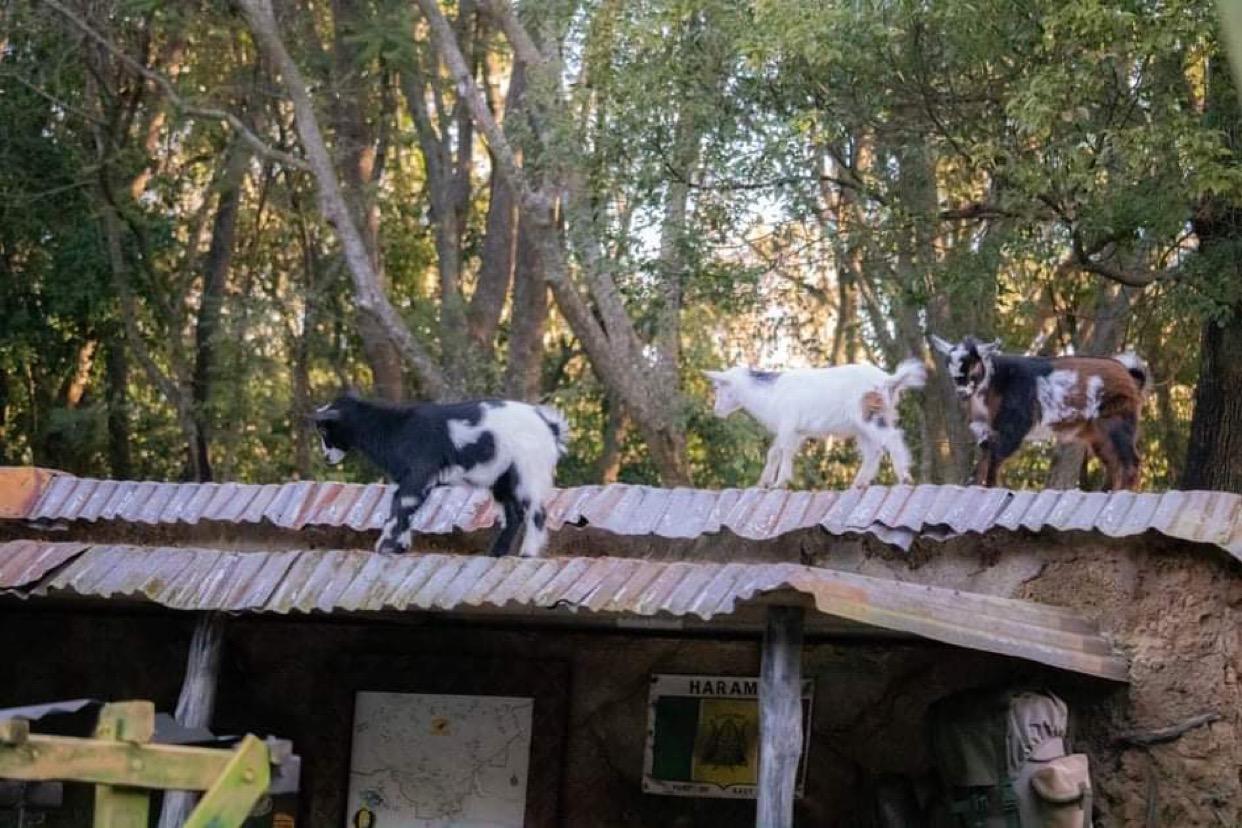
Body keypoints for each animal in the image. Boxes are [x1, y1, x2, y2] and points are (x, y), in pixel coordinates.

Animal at [310, 393, 568, 557]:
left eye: (324, 429)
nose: (326, 458)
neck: (395, 428)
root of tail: (550, 426)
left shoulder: (418, 474)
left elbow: (401, 504)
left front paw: (386, 546)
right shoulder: (408, 479)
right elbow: (403, 507)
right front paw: (399, 546)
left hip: (528, 470)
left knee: (536, 511)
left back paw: (528, 553)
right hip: (502, 478)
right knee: (513, 514)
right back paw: (496, 553)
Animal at [704, 359, 927, 488]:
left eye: (718, 387)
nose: (716, 411)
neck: (769, 394)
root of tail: (888, 380)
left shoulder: (788, 423)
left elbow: (784, 451)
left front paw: (779, 483)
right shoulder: (795, 430)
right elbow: (774, 452)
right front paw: (763, 483)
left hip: (869, 414)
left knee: (891, 438)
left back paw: (904, 478)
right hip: (865, 425)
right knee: (874, 451)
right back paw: (858, 484)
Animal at [930, 335, 1151, 490]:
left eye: (974, 364)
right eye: (949, 364)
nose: (961, 389)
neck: (996, 382)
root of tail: (1128, 373)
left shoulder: (1013, 428)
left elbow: (995, 460)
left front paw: (991, 487)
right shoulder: (987, 432)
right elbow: (982, 464)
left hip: (1117, 421)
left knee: (1131, 461)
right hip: (1098, 433)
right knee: (1113, 463)